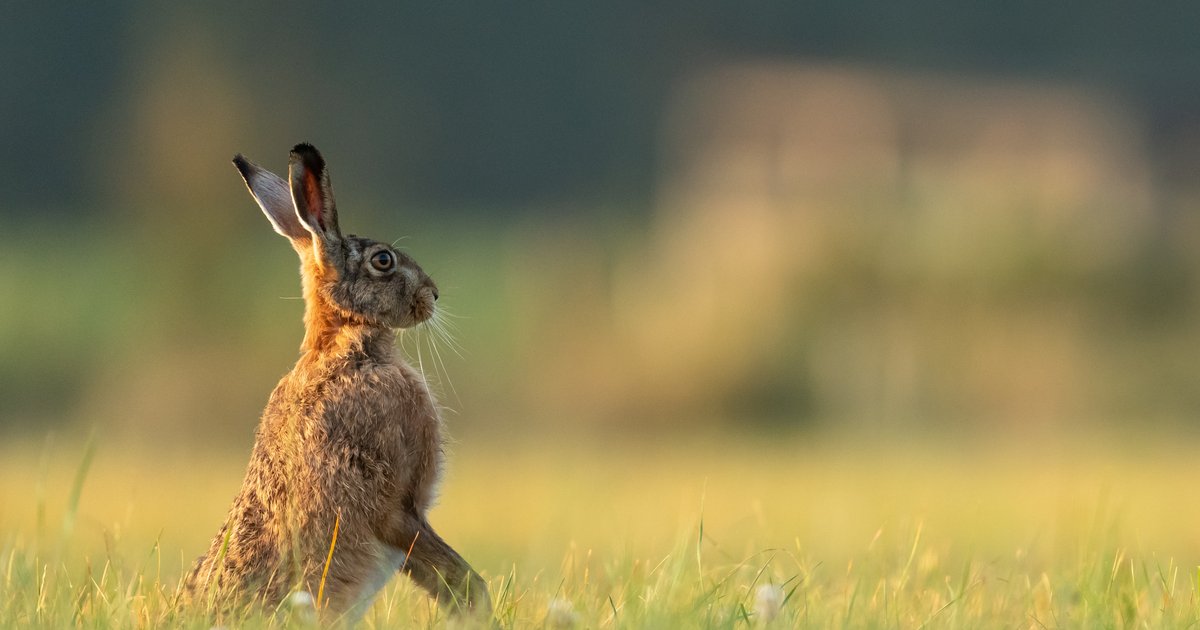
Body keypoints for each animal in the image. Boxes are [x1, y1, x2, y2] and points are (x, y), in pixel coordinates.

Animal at [179, 143, 490, 622]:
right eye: (383, 260)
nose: (433, 294)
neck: (343, 341)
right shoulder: (400, 506)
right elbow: (452, 575)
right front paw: (481, 610)